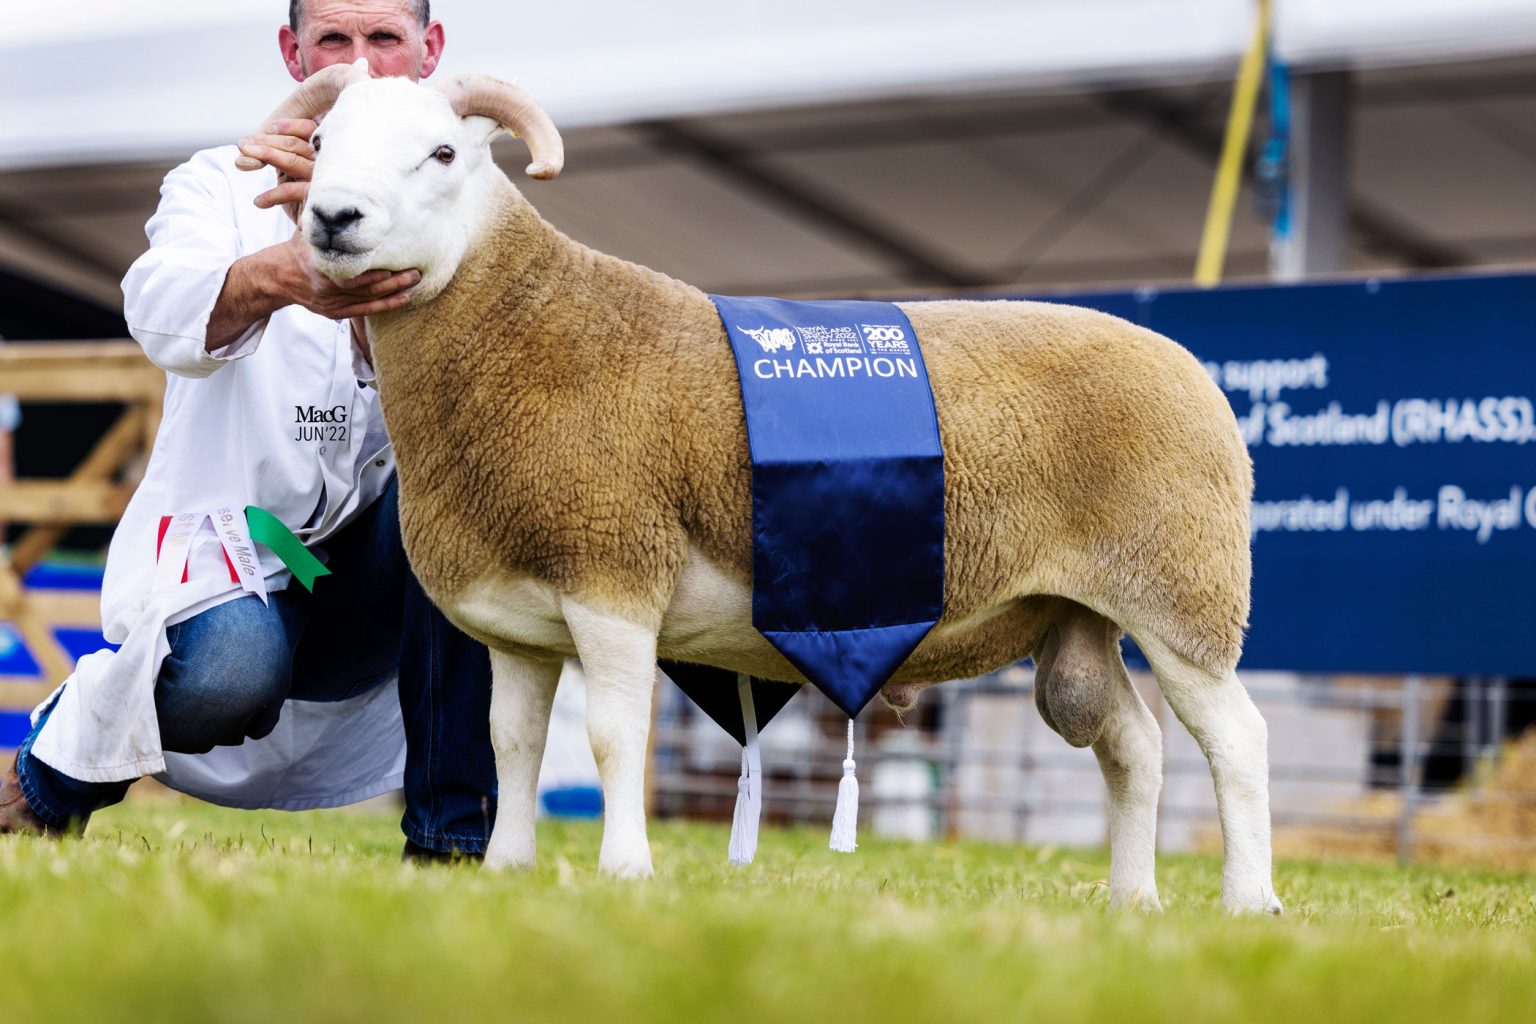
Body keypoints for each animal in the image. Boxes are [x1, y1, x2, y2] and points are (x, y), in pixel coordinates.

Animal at [247, 63, 1282, 914]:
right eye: (322, 144)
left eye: (444, 152)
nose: (334, 218)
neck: (524, 327)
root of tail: (1190, 368)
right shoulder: (519, 624)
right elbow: (514, 746)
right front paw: (506, 872)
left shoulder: (614, 571)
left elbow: (614, 737)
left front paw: (626, 872)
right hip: (1078, 618)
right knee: (1133, 747)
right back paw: (1133, 903)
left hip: (1182, 591)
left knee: (1237, 741)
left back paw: (1247, 905)